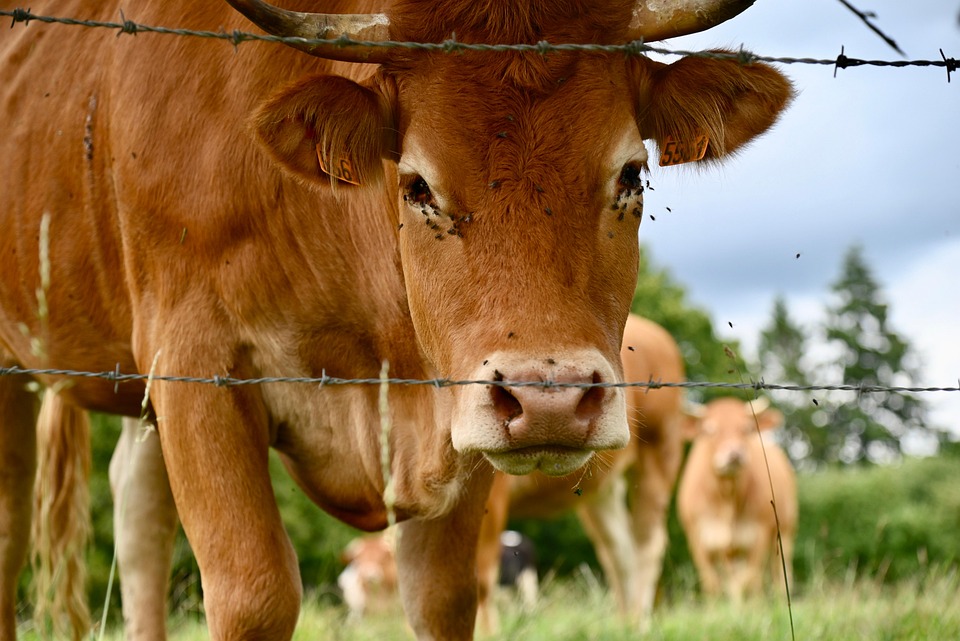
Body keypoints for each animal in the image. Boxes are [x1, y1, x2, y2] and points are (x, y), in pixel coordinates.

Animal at [476, 313, 687, 633]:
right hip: (602, 489)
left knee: (646, 545)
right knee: (618, 551)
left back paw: (639, 625)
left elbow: (478, 581)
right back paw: (624, 627)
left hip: (660, 453)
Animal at [676, 397, 798, 603]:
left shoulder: (758, 535)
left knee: (779, 570)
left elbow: (748, 580)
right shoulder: (698, 539)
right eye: (710, 429)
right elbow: (713, 583)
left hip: (786, 529)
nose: (735, 454)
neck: (727, 499)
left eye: (746, 428)